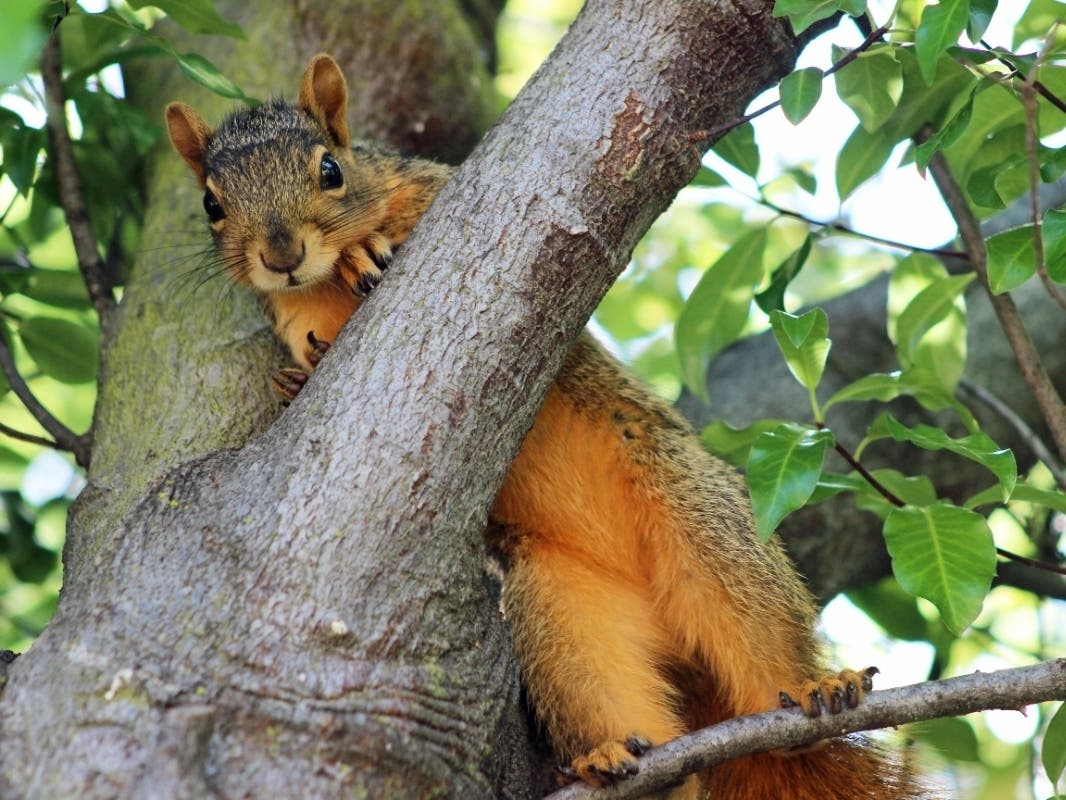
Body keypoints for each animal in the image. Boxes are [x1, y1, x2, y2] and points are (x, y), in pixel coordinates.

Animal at [165, 54, 925, 799]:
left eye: (330, 170)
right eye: (211, 204)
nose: (281, 254)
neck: (322, 292)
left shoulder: (443, 194)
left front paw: (363, 252)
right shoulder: (292, 319)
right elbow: (301, 358)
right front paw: (295, 382)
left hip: (698, 511)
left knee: (757, 629)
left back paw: (814, 685)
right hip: (562, 608)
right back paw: (617, 758)